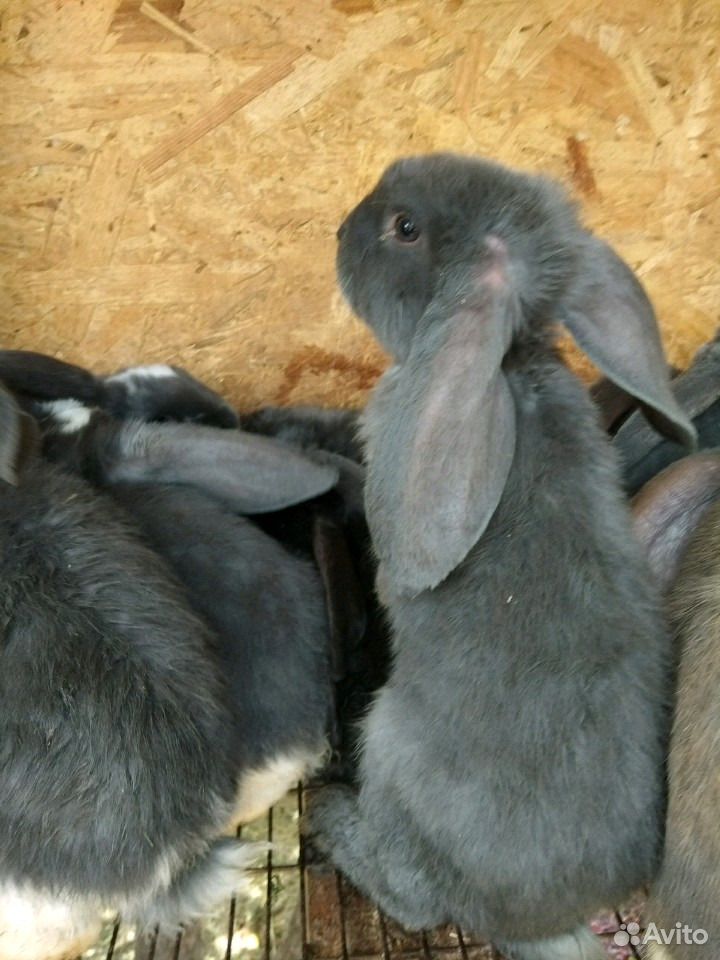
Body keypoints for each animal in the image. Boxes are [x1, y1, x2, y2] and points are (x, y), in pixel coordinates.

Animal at [304, 153, 697, 960]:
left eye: (405, 227)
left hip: (388, 744)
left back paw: (332, 819)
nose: (341, 226)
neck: (508, 365)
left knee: (416, 898)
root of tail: (528, 924)